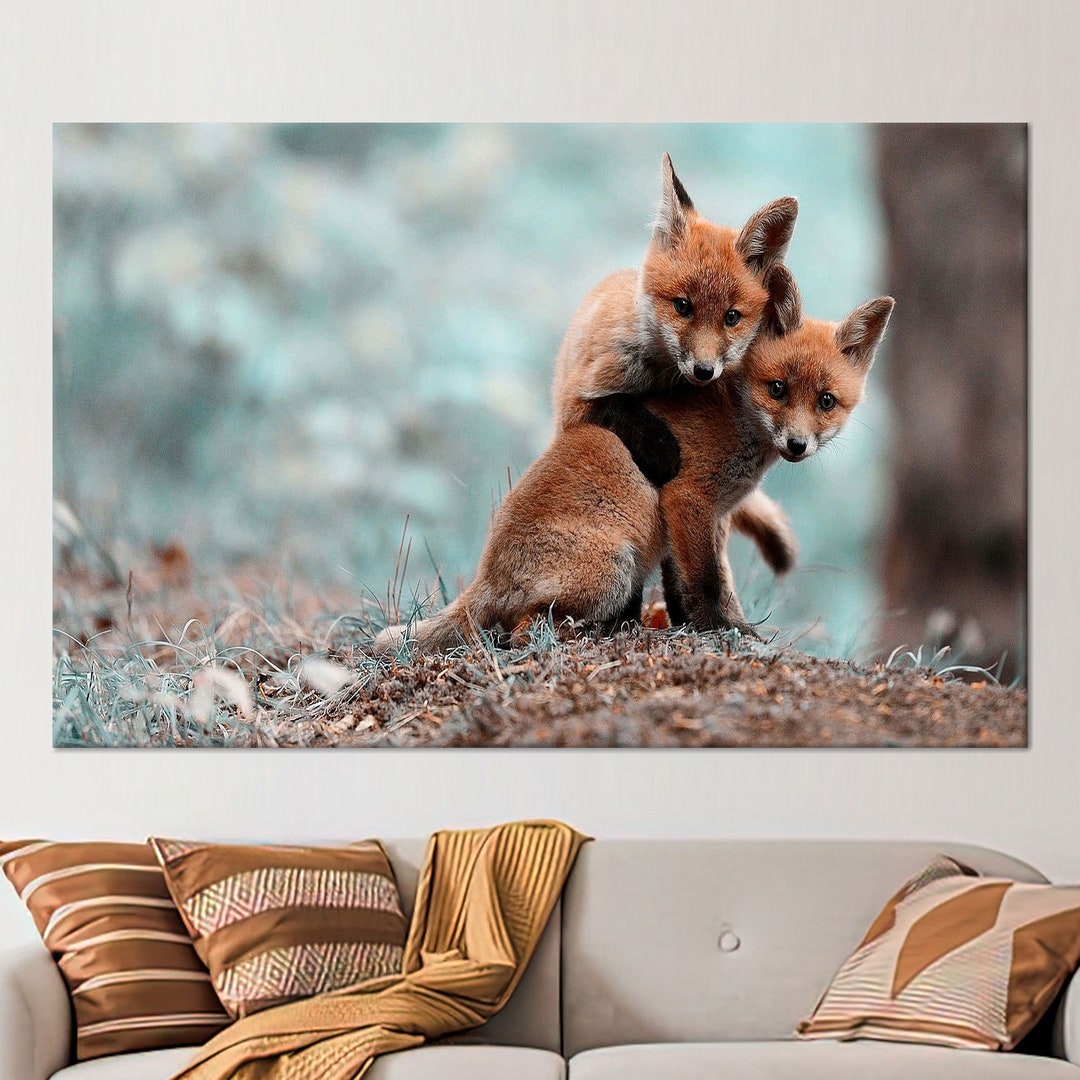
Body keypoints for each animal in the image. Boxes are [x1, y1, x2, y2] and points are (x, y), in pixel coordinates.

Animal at [374, 269, 894, 654]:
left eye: (826, 401)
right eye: (778, 389)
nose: (798, 444)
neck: (736, 416)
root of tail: (487, 572)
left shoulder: (711, 517)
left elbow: (693, 585)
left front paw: (704, 625)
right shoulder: (688, 499)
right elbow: (706, 583)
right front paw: (723, 631)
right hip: (614, 569)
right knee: (519, 632)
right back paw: (589, 633)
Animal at [552, 153, 802, 576]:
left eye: (732, 317)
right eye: (683, 306)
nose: (704, 370)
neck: (660, 378)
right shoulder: (579, 403)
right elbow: (618, 406)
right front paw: (661, 448)